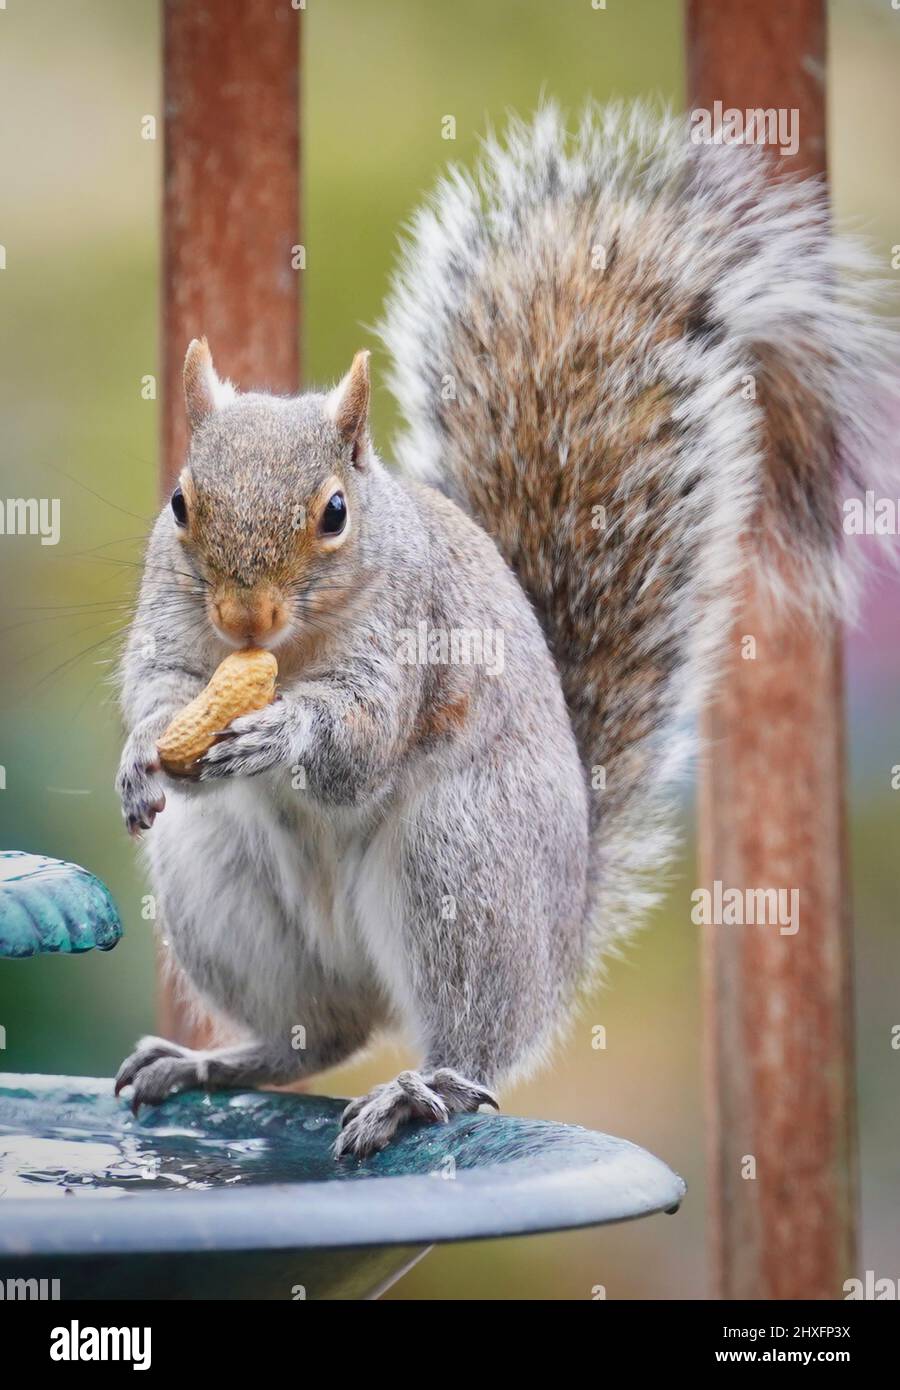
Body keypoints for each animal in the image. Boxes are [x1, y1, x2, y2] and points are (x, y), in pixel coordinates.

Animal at [114, 104, 893, 1157]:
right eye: (181, 503)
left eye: (334, 513)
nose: (244, 614)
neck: (285, 653)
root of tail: (562, 933)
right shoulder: (171, 633)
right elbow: (160, 695)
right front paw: (142, 755)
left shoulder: (412, 641)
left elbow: (358, 741)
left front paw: (280, 731)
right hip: (221, 887)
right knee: (316, 1034)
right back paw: (207, 1061)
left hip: (462, 866)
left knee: (472, 1047)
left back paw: (415, 1090)